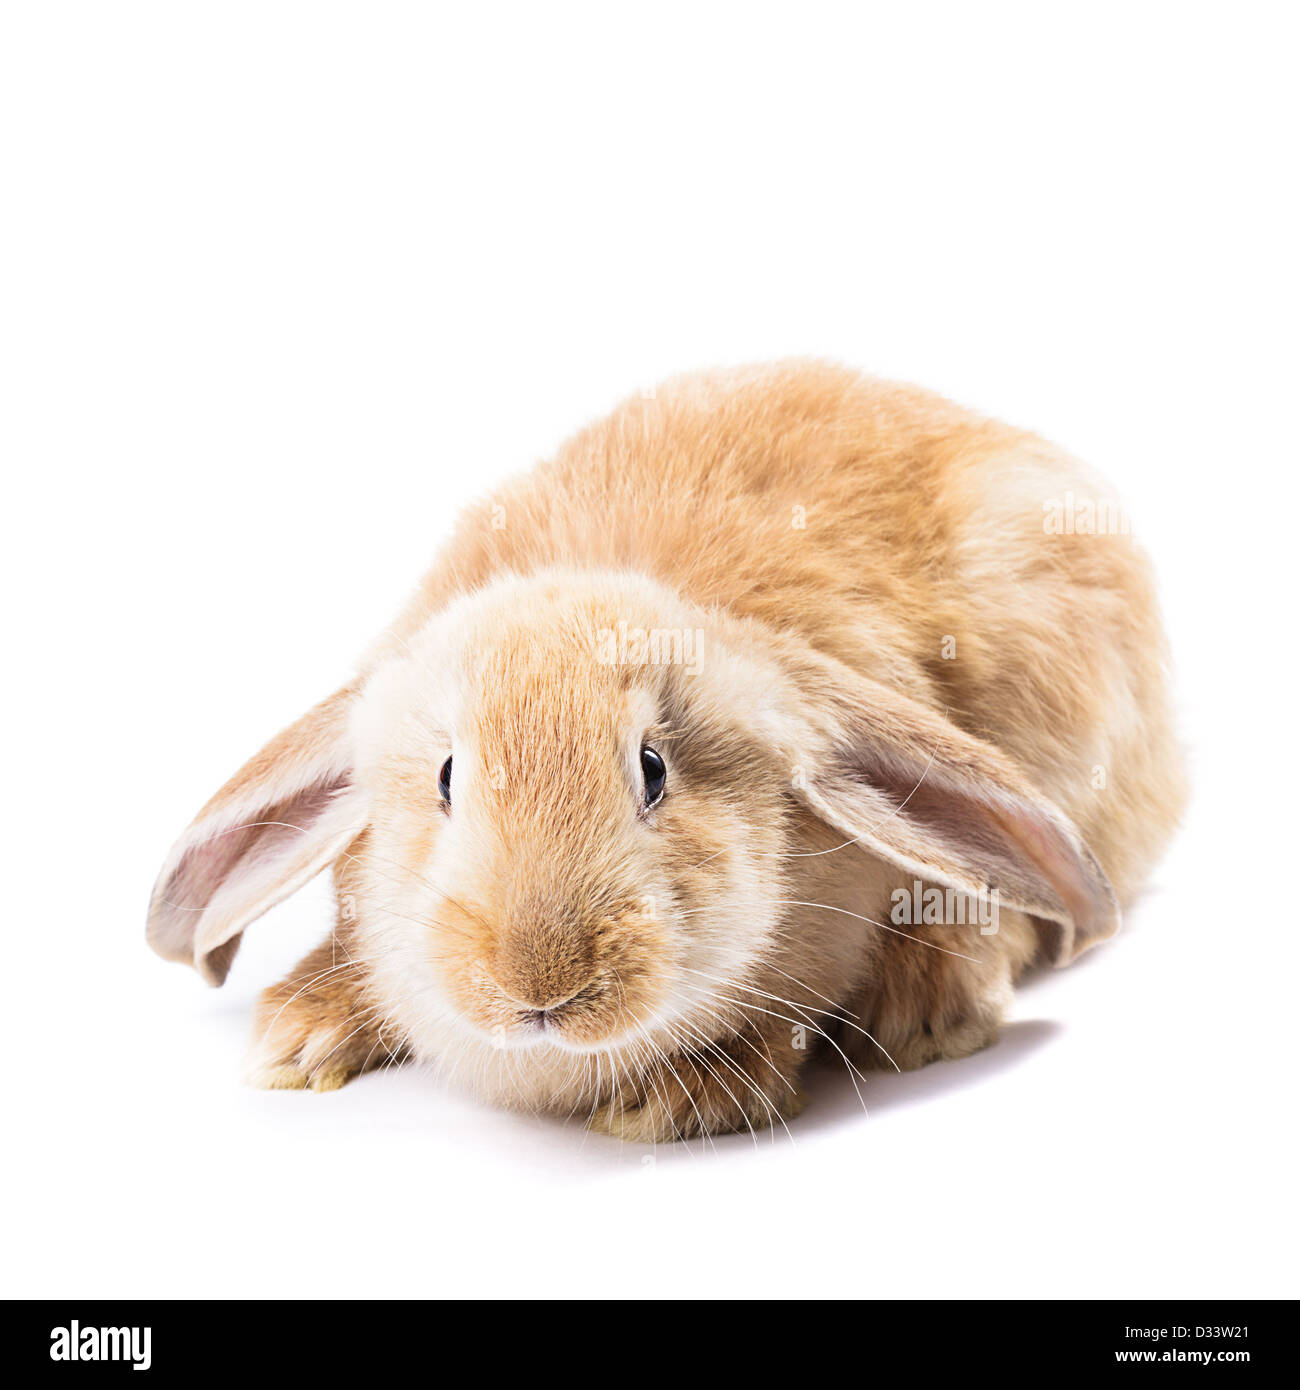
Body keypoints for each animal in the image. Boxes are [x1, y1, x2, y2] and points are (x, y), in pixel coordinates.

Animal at [147, 362, 1186, 1141]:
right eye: (446, 778)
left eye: (653, 771)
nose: (539, 983)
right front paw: (299, 1035)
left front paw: (689, 1095)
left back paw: (927, 1011)